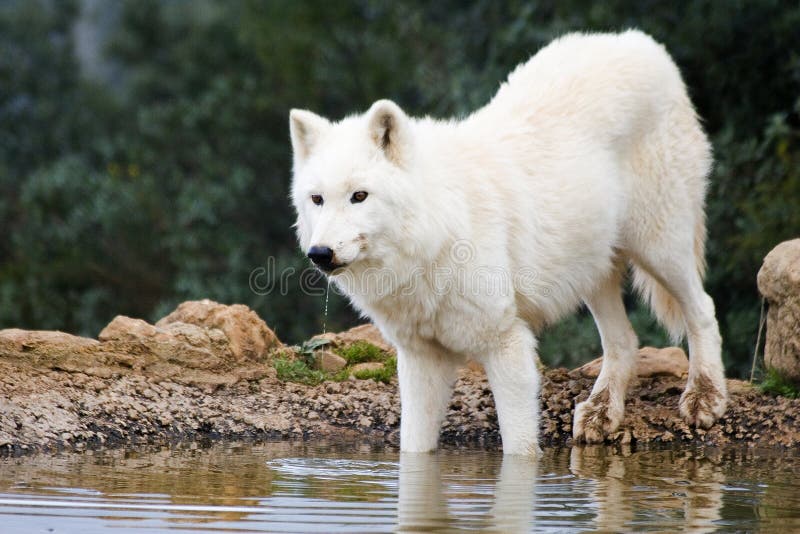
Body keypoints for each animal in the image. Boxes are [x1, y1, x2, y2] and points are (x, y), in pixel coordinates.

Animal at [289, 30, 726, 455]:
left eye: (359, 196)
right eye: (317, 199)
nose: (320, 254)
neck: (438, 230)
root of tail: (643, 44)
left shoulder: (507, 344)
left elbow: (519, 451)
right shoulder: (421, 358)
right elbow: (414, 452)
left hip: (660, 247)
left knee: (702, 308)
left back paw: (705, 397)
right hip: (593, 268)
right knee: (624, 340)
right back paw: (602, 412)